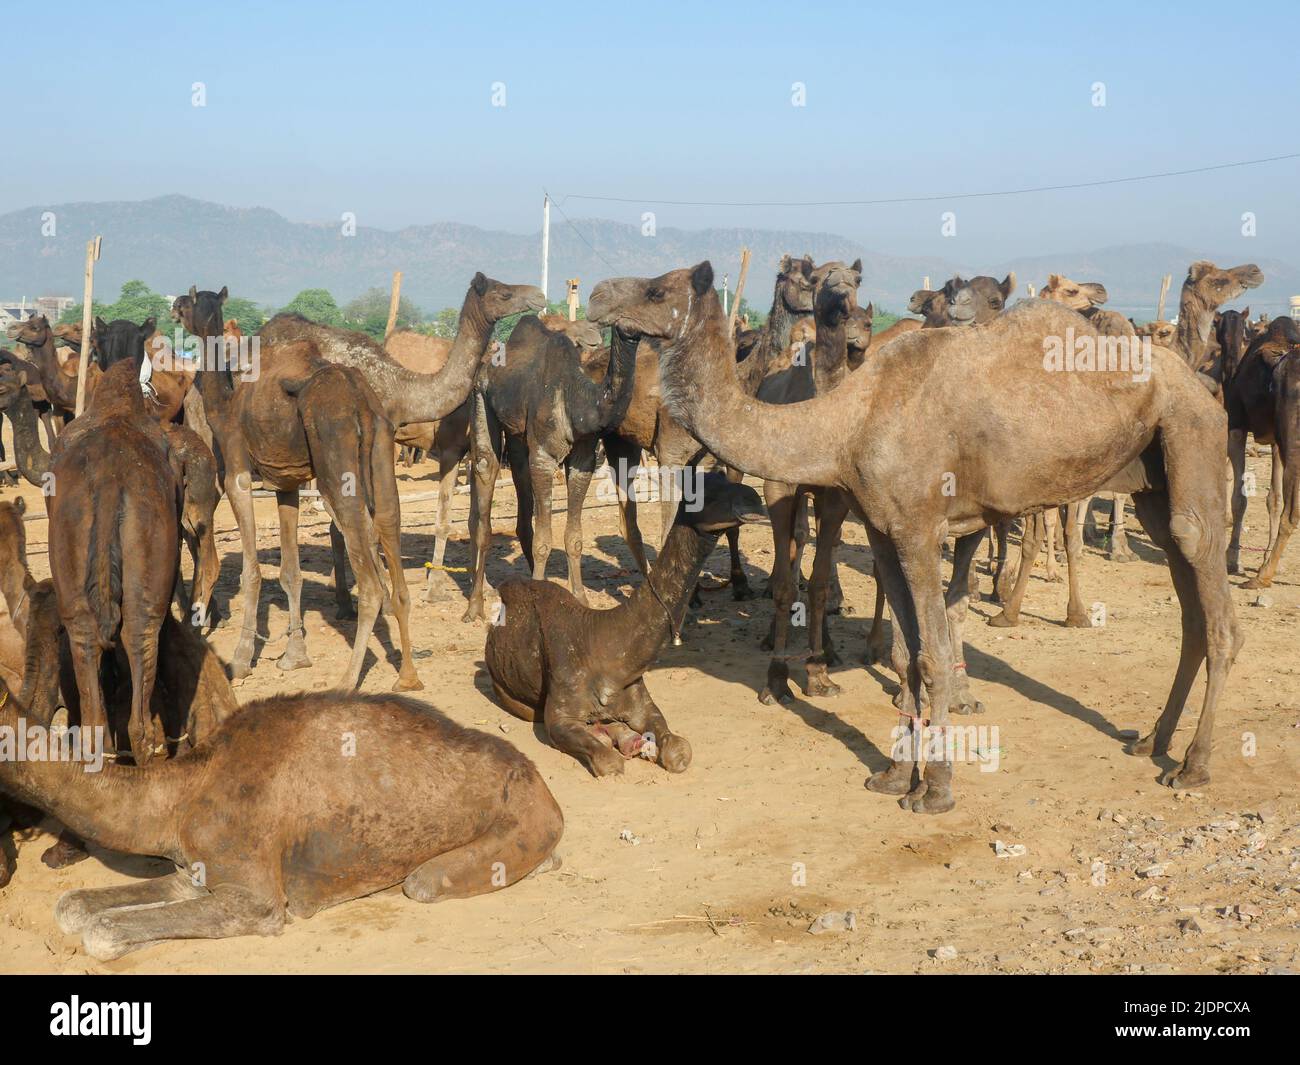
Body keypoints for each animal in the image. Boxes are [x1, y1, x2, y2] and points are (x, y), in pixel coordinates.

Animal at [462, 314, 637, 623]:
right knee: (485, 467)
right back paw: (474, 608)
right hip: (479, 396)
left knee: (519, 482)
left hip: (518, 437)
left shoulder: (583, 460)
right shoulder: (543, 457)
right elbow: (544, 539)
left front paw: (579, 598)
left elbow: (574, 537)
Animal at [486, 471, 763, 775]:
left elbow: (679, 751)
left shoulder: (641, 701)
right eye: (702, 492)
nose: (755, 499)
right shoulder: (559, 716)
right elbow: (609, 762)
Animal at [590, 262, 1239, 814]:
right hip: (1150, 481)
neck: (846, 421)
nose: (596, 295)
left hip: (1192, 437)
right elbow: (908, 654)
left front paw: (936, 790)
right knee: (1189, 611)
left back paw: (1194, 765)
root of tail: (1203, 384)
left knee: (1214, 601)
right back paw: (1152, 741)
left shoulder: (920, 528)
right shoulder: (883, 529)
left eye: (656, 289)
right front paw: (895, 776)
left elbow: (932, 654)